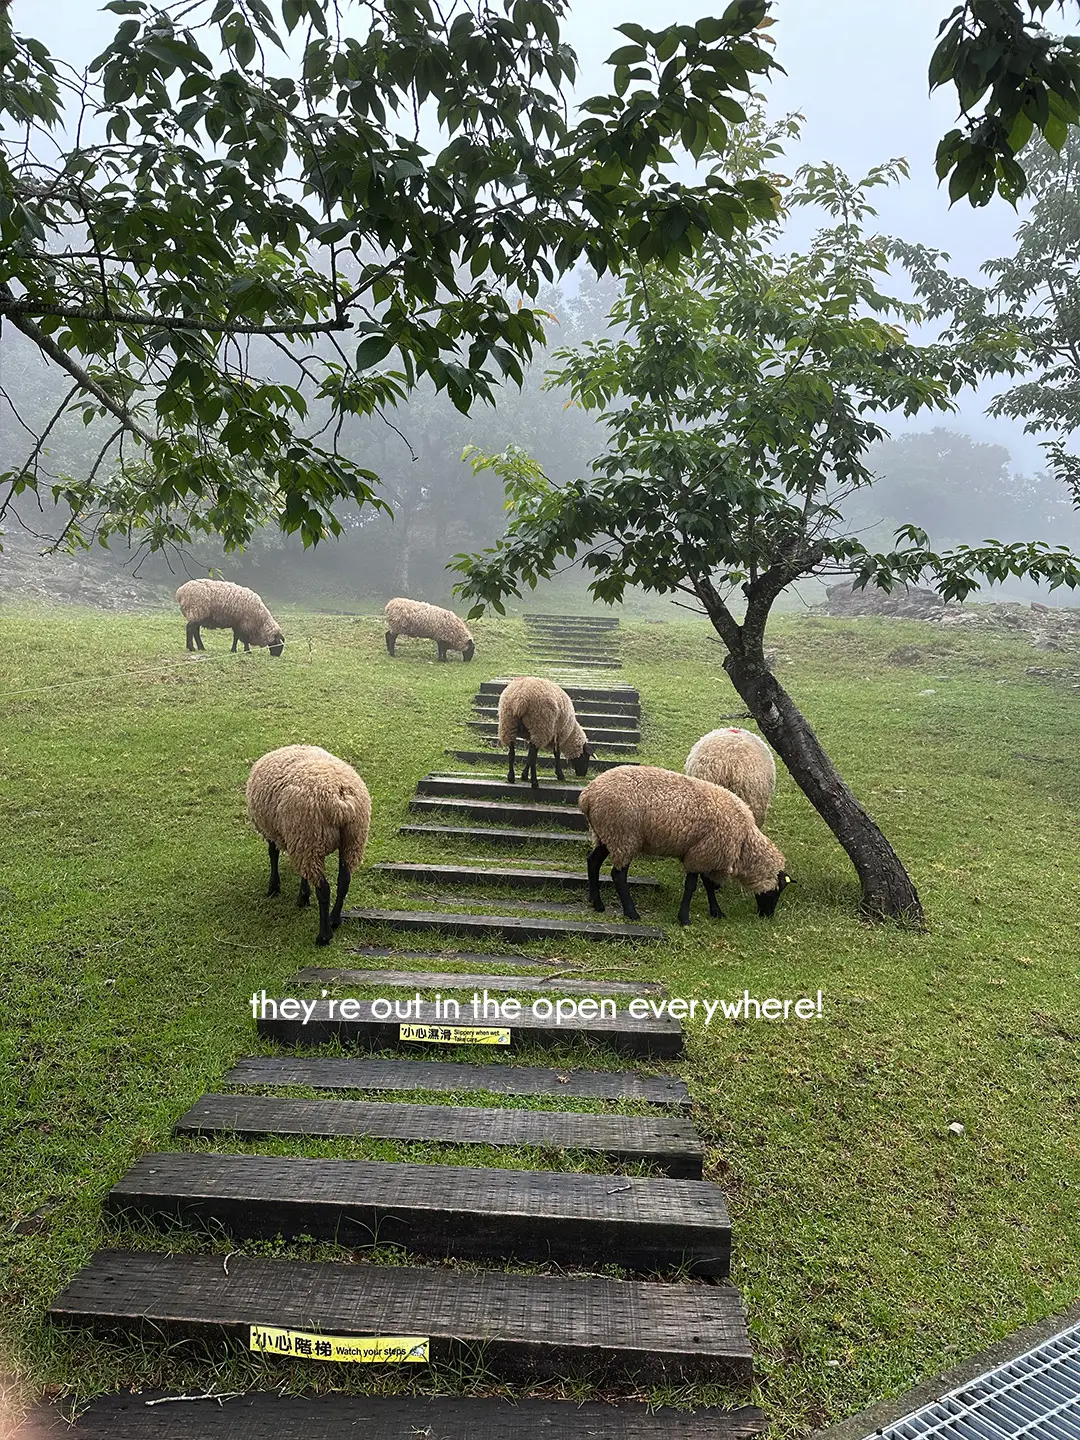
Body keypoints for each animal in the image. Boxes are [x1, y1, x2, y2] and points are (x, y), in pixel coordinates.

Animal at [246, 745, 371, 945]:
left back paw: (324, 935)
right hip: (351, 840)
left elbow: (272, 853)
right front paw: (302, 895)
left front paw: (274, 888)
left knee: (324, 889)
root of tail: (341, 800)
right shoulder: (296, 840)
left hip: (309, 838)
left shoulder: (272, 830)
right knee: (344, 881)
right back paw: (334, 919)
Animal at [578, 764, 792, 926]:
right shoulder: (701, 854)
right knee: (618, 875)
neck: (744, 843)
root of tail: (587, 795)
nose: (767, 915)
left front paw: (716, 912)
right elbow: (692, 887)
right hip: (623, 836)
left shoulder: (706, 853)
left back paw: (597, 903)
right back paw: (631, 913)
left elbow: (708, 884)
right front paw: (684, 918)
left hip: (606, 835)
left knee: (593, 861)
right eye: (779, 888)